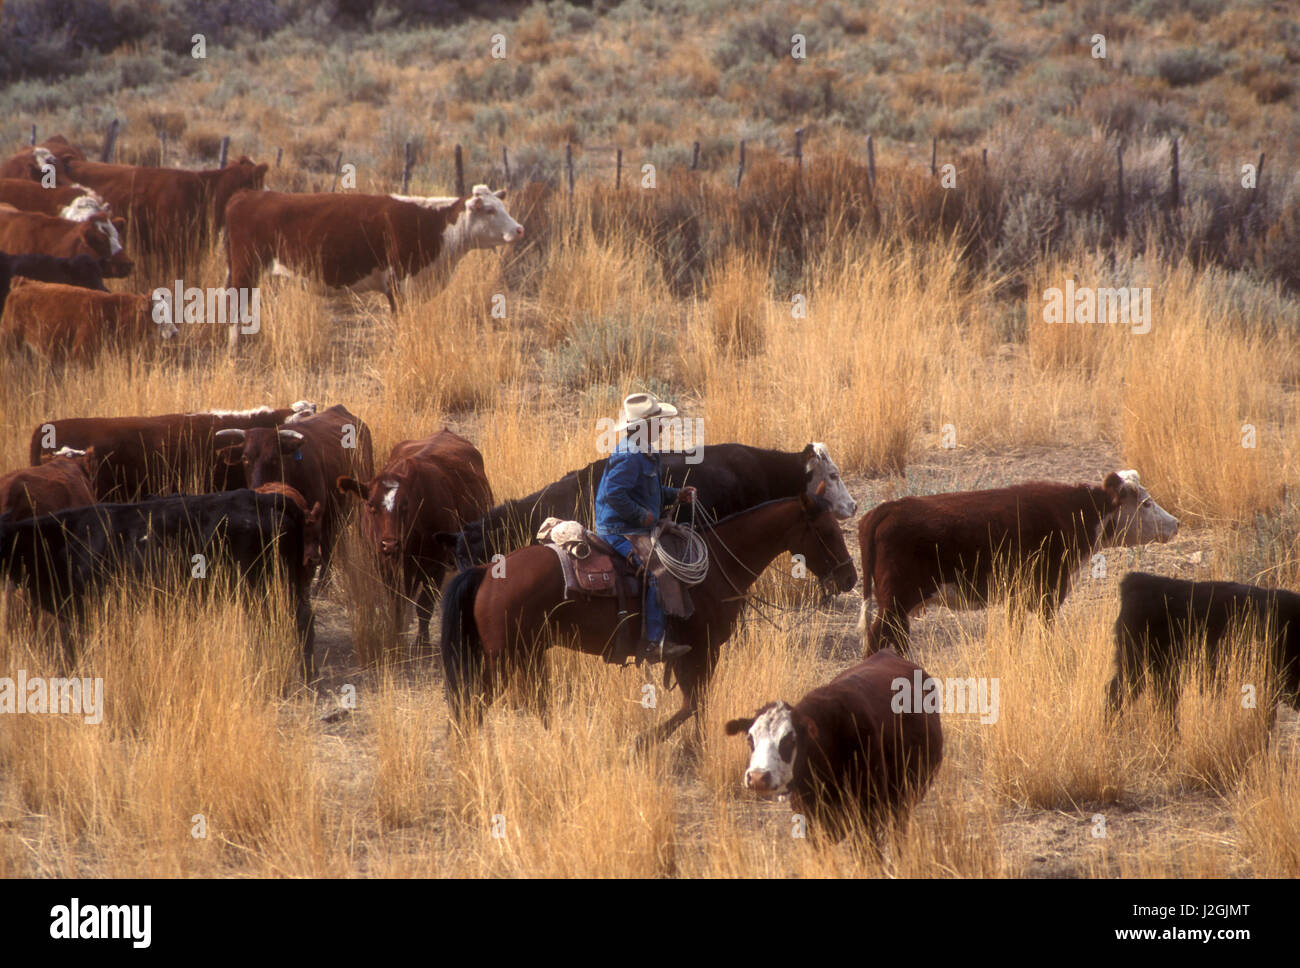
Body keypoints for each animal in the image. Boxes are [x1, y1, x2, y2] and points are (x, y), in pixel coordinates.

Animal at [222, 183, 523, 343]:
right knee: (236, 311)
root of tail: (248, 195)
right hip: (245, 270)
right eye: (490, 210)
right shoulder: (399, 286)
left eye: (502, 207)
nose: (518, 229)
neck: (433, 224)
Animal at [337, 429, 494, 651]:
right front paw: (396, 636)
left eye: (405, 506)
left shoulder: (435, 565)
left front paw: (422, 642)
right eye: (370, 505)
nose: (390, 544)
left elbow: (424, 606)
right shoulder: (383, 564)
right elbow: (395, 604)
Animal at [857, 471, 1179, 655]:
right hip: (895, 603)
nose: (1175, 523)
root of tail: (886, 509)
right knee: (875, 637)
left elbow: (1015, 634)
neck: (1073, 512)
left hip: (899, 608)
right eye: (1146, 503)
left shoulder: (1017, 596)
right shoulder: (1048, 592)